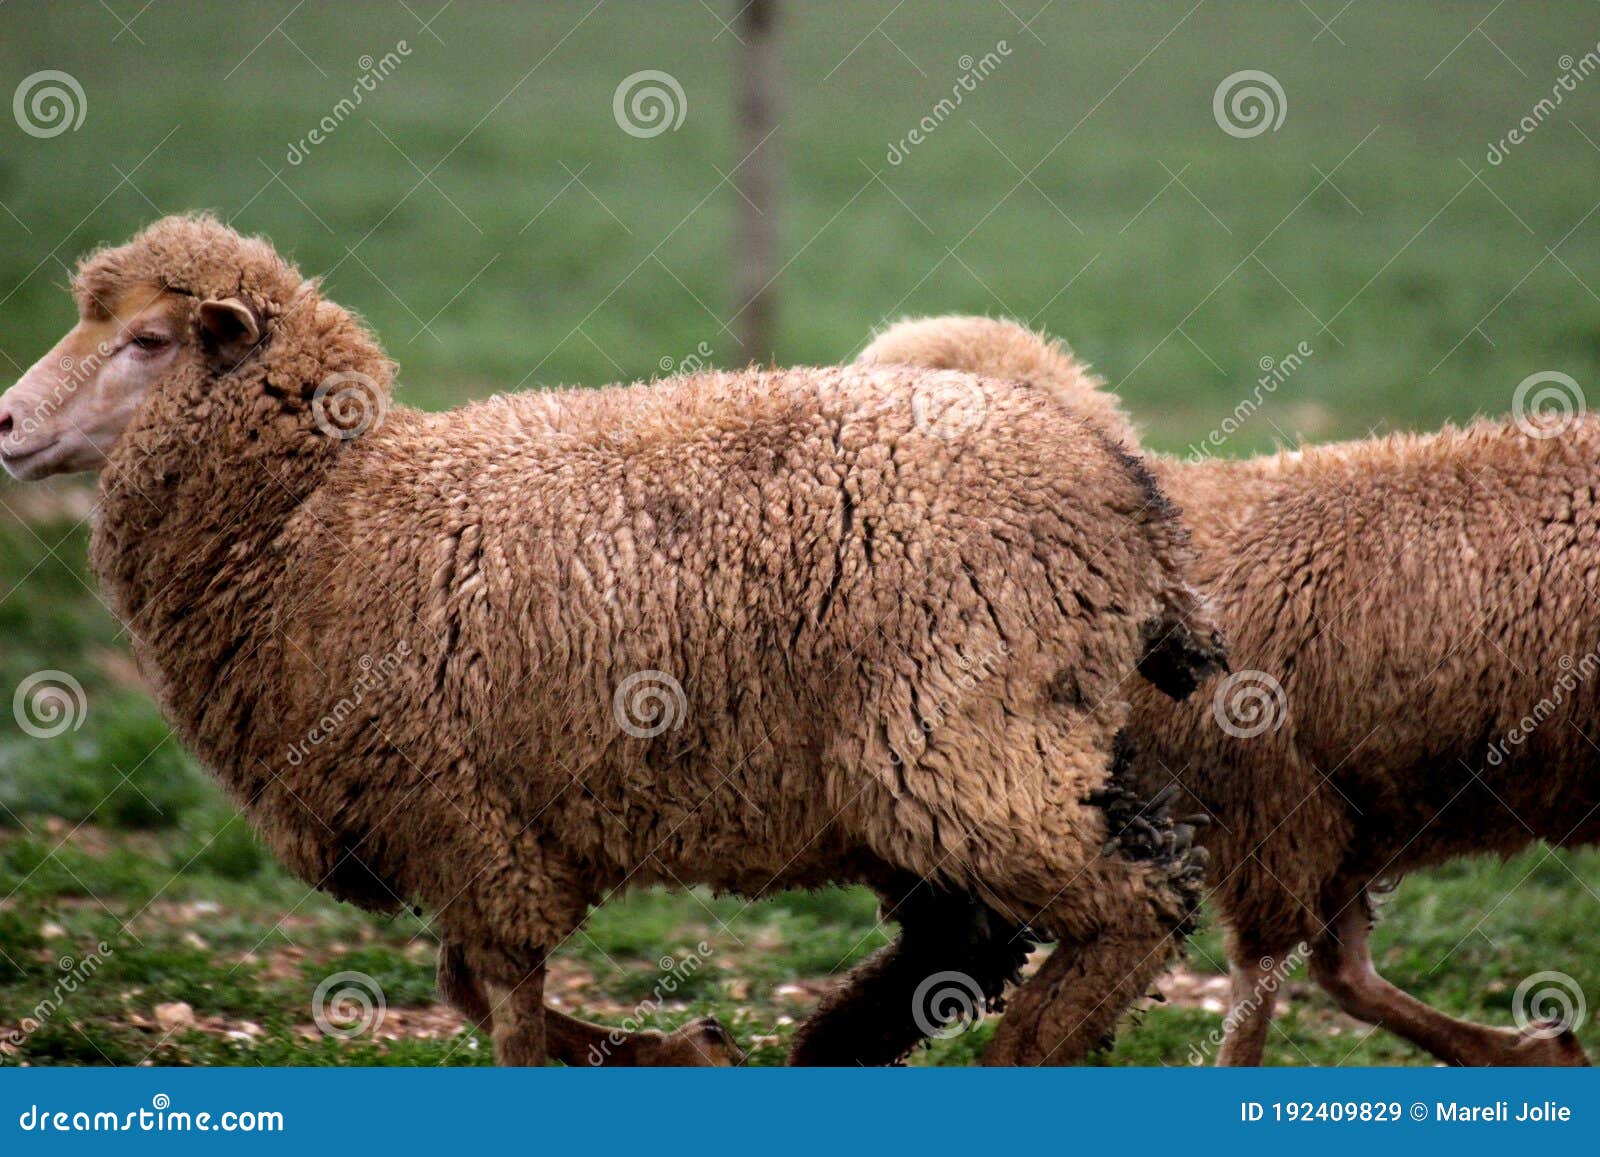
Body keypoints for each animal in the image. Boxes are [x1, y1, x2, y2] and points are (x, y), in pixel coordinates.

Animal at [0, 218, 1226, 1066]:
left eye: (148, 340)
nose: (6, 421)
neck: (322, 510)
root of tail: (1124, 481)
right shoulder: (475, 820)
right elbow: (469, 988)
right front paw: (674, 1048)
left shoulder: (461, 810)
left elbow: (499, 1003)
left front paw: (644, 1051)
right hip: (976, 754)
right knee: (983, 929)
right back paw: (834, 1046)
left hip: (956, 740)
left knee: (1129, 906)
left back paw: (1011, 1054)